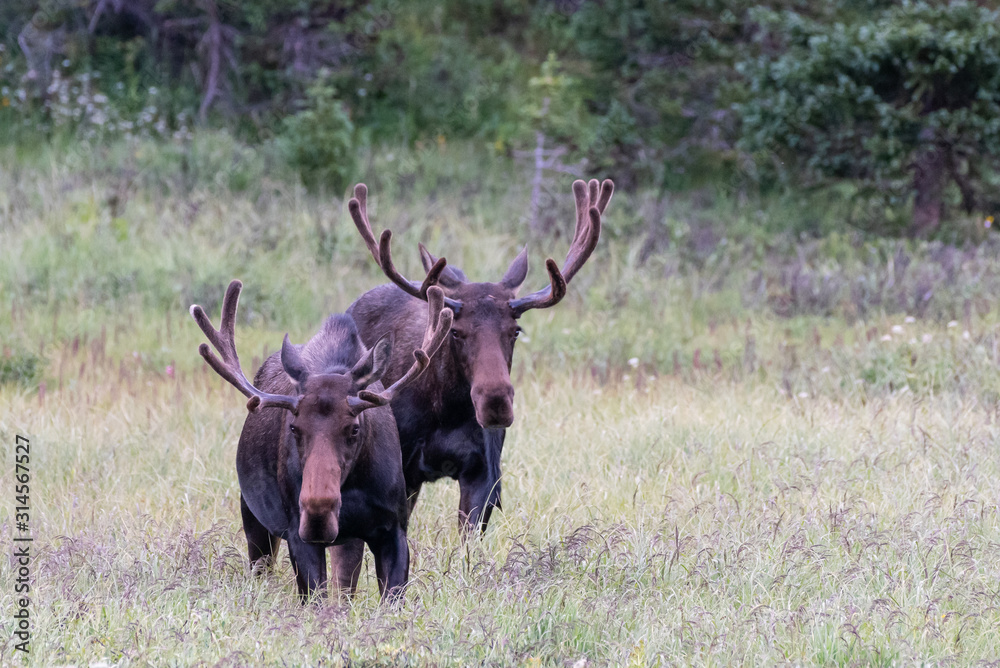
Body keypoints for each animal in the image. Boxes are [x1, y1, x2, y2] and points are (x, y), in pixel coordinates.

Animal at [190, 279, 453, 601]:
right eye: (294, 427)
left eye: (354, 428)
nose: (318, 511)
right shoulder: (296, 532)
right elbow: (316, 599)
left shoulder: (393, 529)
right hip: (253, 515)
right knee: (262, 569)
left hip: (346, 538)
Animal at [343, 178, 614, 535]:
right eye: (456, 332)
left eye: (516, 330)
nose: (495, 402)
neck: (447, 410)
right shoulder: (402, 469)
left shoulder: (484, 473)